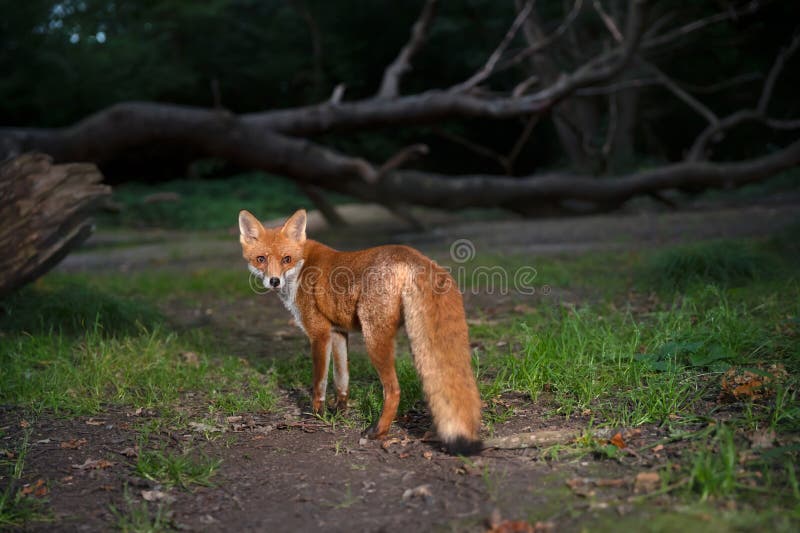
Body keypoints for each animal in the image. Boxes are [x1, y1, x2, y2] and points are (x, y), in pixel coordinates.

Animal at [238, 209, 482, 454]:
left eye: (286, 259)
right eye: (261, 259)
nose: (274, 281)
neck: (302, 265)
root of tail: (413, 255)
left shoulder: (319, 333)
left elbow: (319, 382)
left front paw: (317, 414)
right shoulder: (338, 332)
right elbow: (341, 378)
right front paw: (340, 411)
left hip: (373, 338)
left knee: (394, 390)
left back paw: (378, 431)